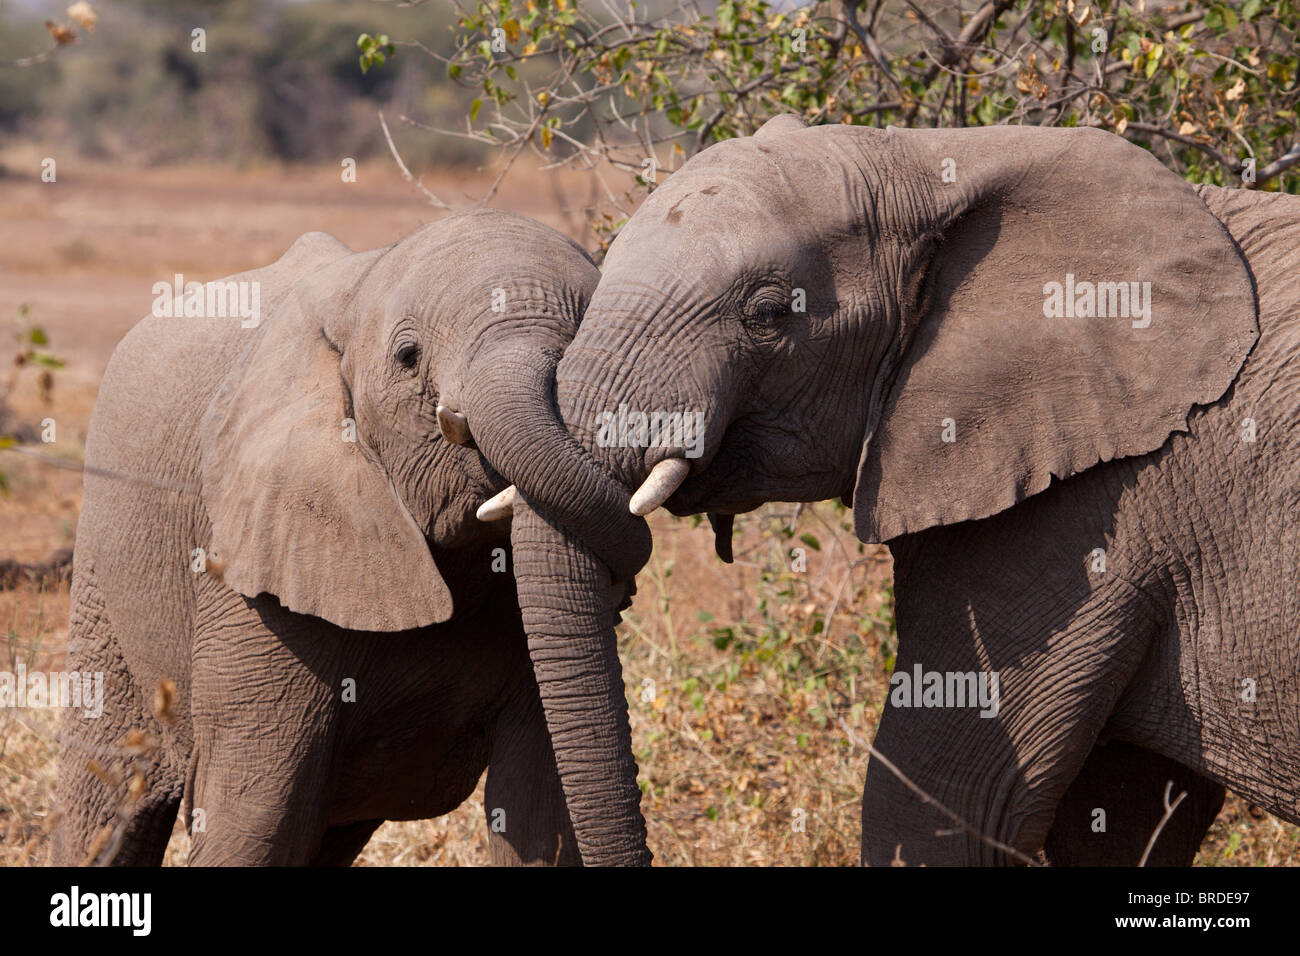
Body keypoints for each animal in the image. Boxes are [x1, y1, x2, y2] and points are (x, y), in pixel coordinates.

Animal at [52, 209, 599, 865]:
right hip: (105, 560)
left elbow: (545, 804)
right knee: (108, 793)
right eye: (408, 357)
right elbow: (255, 818)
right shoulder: (254, 562)